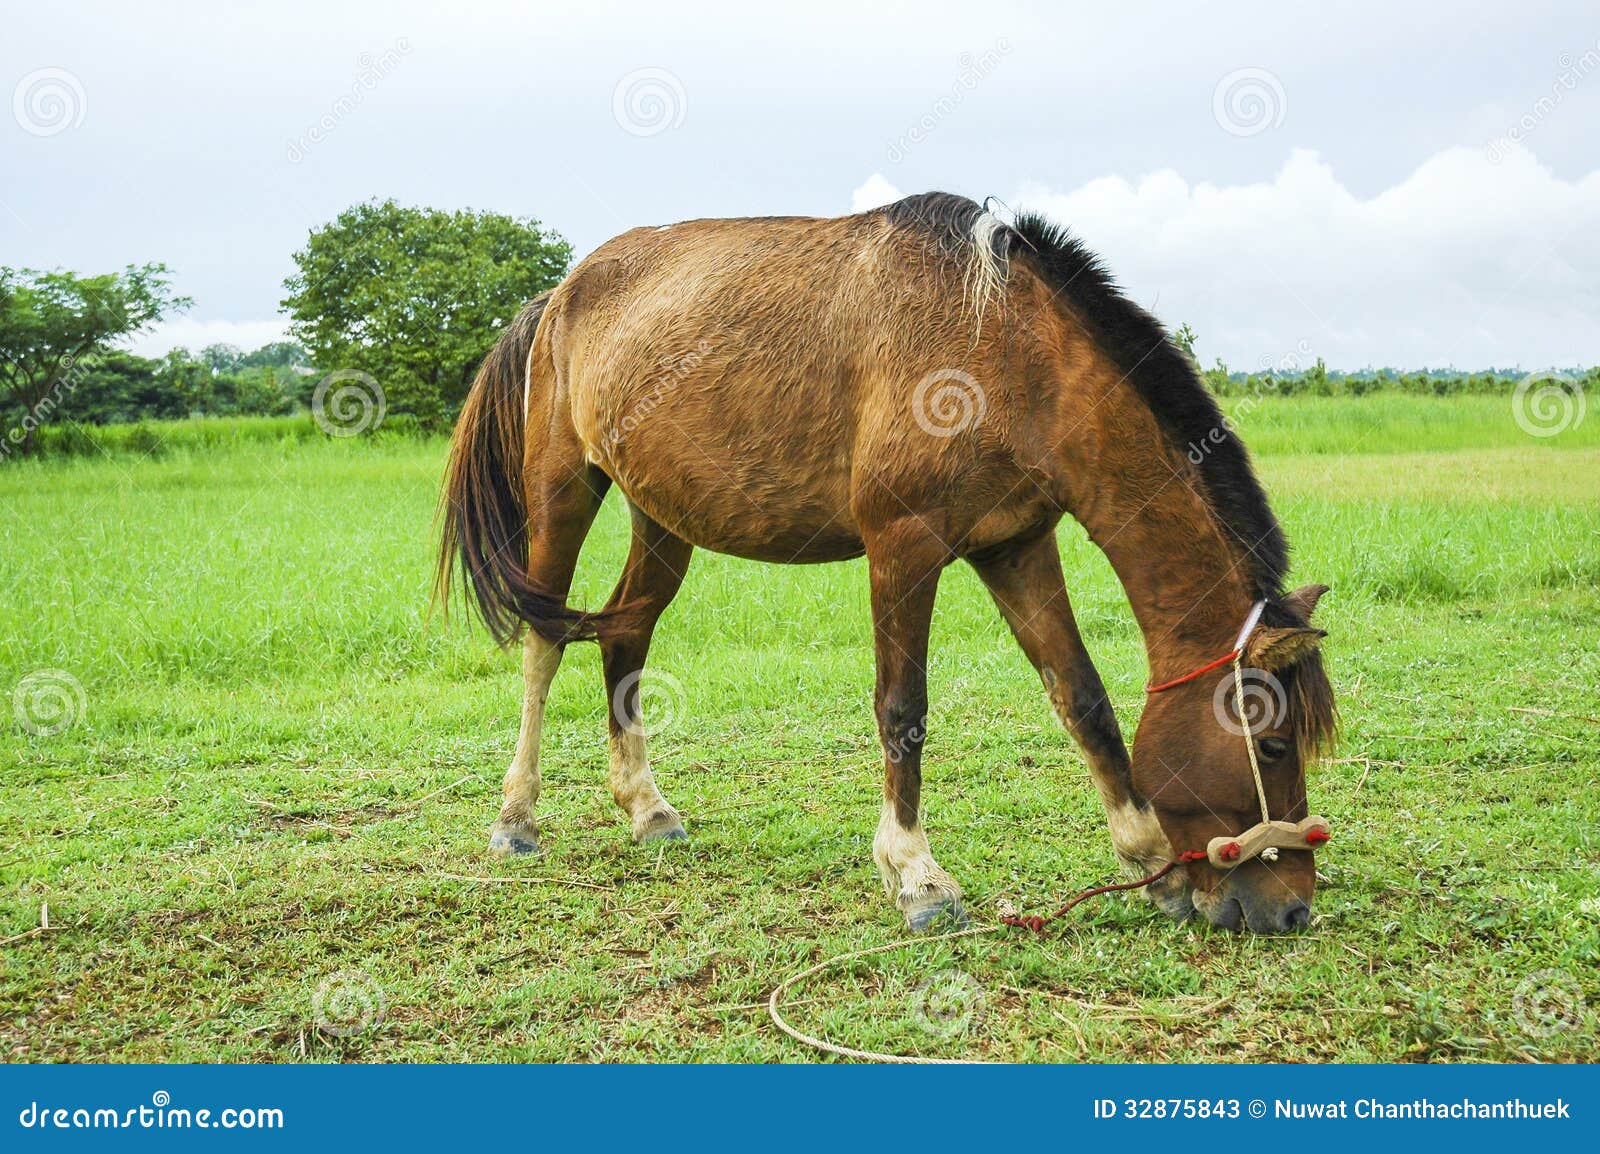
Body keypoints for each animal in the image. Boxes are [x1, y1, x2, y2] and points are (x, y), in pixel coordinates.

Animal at [436, 192, 1337, 935]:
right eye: (1273, 747)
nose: (1291, 910)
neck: (1002, 349)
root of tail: (557, 295)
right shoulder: (904, 547)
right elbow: (904, 709)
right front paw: (917, 875)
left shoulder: (1016, 545)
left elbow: (1082, 697)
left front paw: (1148, 858)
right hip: (562, 489)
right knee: (543, 642)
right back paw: (517, 817)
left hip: (662, 518)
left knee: (626, 635)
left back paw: (648, 810)